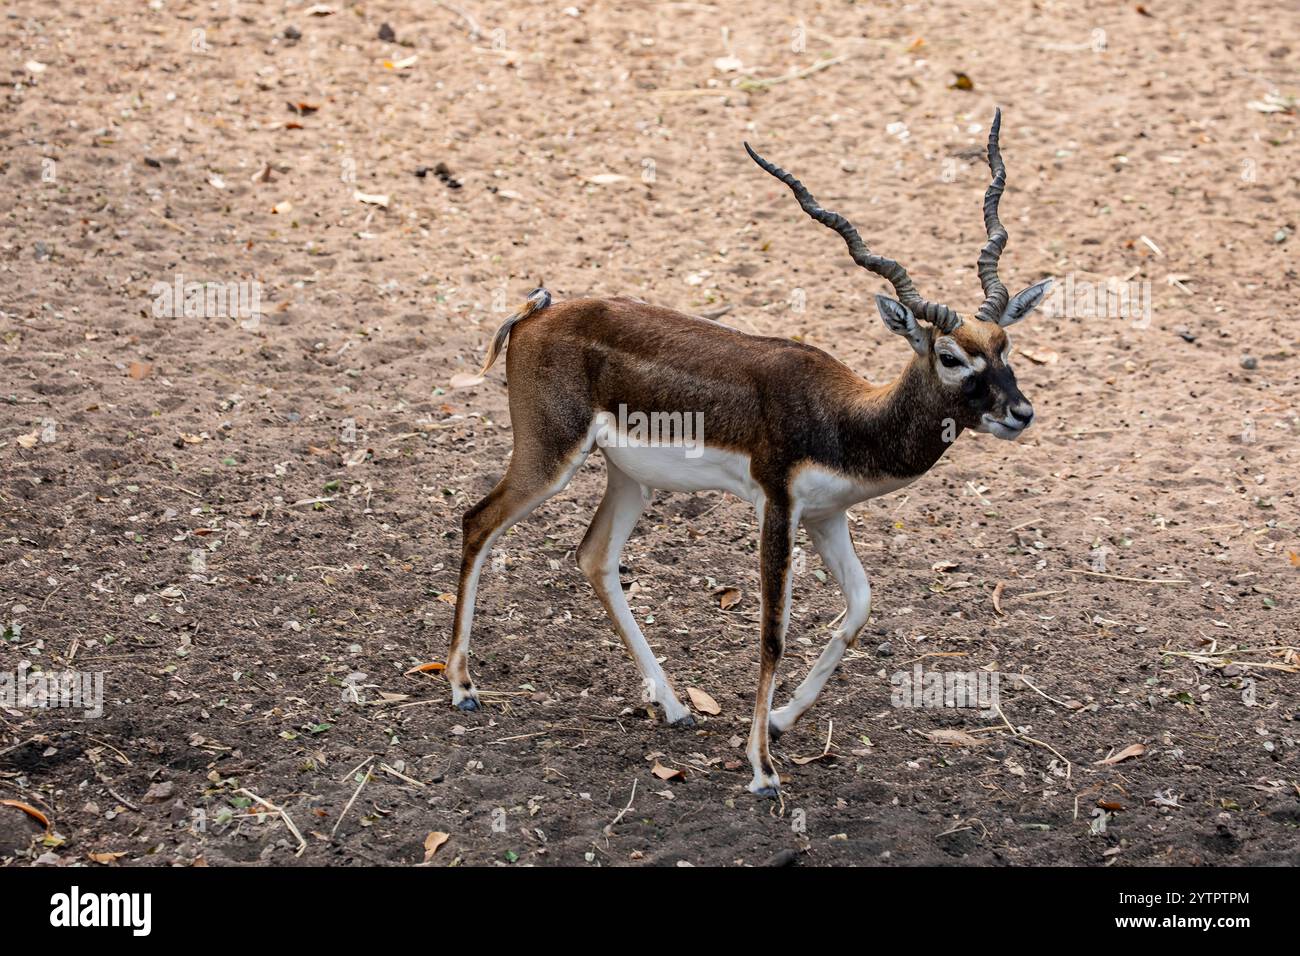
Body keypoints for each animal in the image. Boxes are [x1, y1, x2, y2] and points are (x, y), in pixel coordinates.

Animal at [447, 109, 1052, 797]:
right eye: (950, 357)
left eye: (1005, 345)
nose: (1020, 412)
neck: (845, 415)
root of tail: (533, 315)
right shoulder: (777, 505)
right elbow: (772, 636)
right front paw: (762, 769)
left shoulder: (827, 515)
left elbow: (860, 607)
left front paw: (784, 723)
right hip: (549, 456)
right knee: (478, 521)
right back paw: (462, 688)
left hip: (629, 478)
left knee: (595, 557)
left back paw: (675, 706)